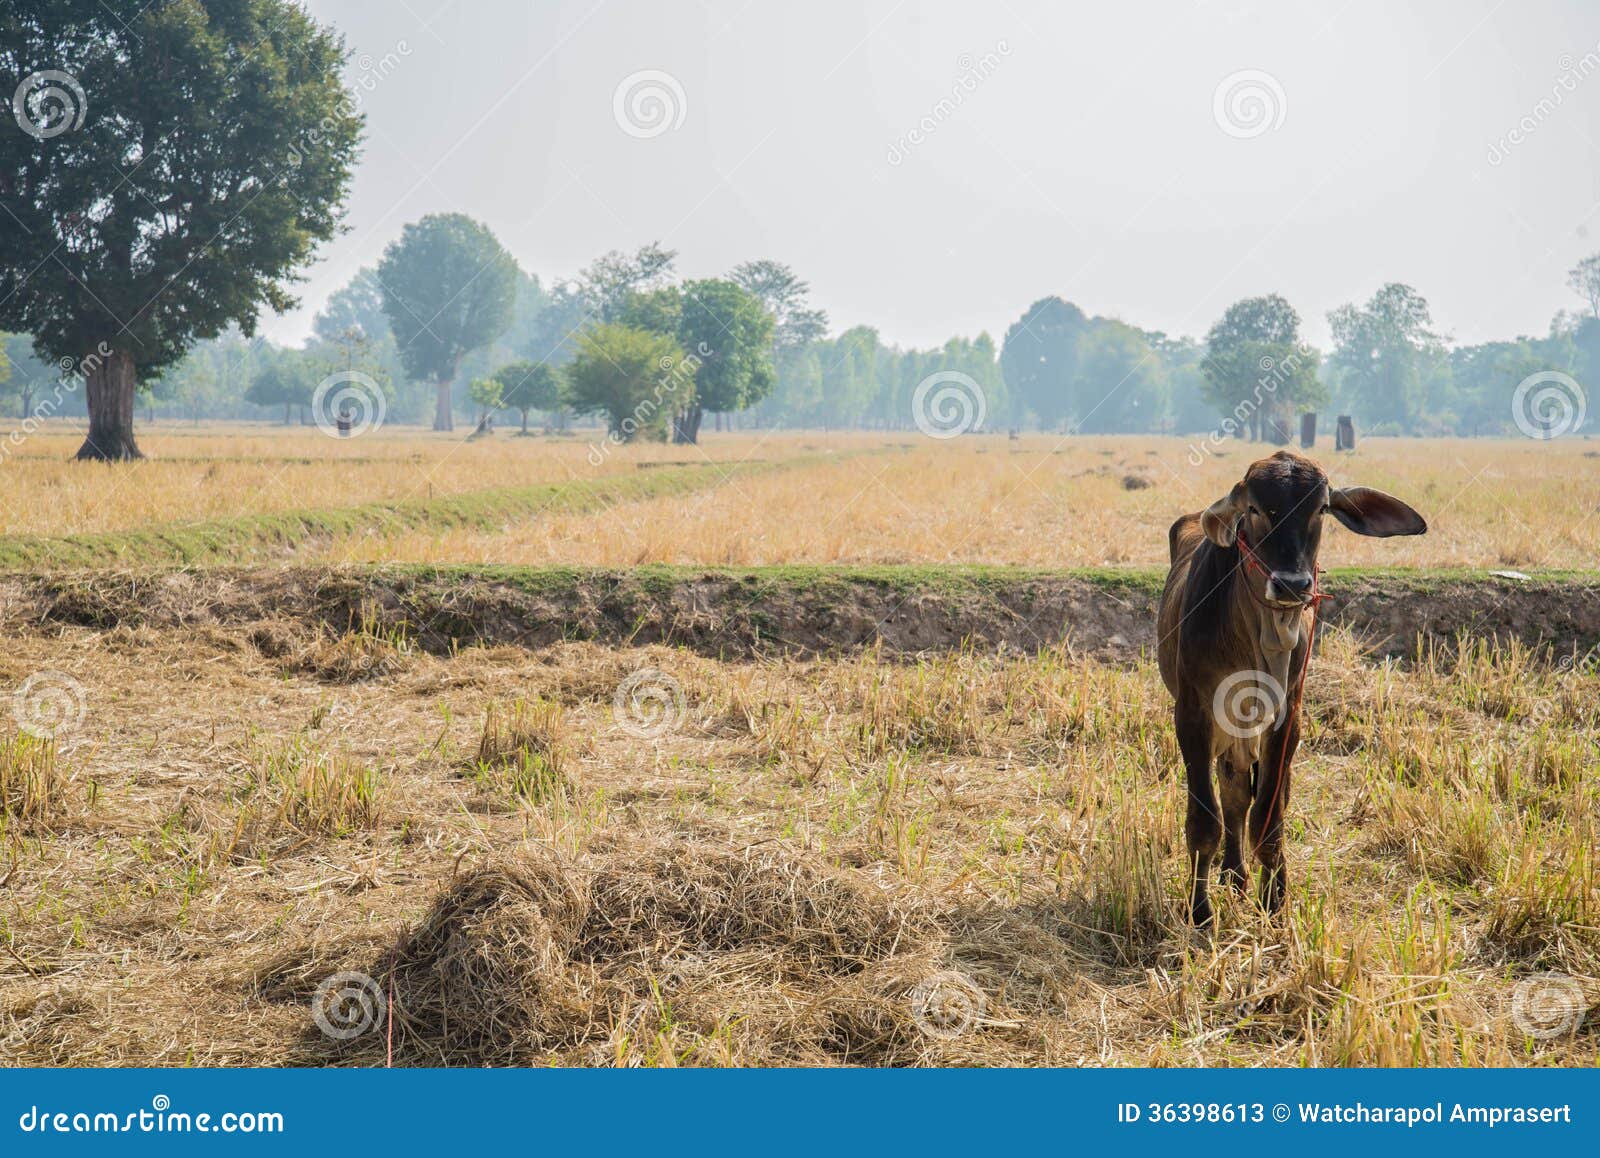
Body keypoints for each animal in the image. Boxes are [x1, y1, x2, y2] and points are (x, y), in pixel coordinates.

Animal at [1157, 450, 1426, 926]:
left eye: (1320, 509)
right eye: (1253, 508)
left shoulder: (1287, 718)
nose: (1292, 584)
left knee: (1248, 799)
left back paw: (1242, 877)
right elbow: (1204, 821)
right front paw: (1200, 912)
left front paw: (1274, 904)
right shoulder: (1193, 715)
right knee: (1231, 796)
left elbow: (1268, 817)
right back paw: (1232, 877)